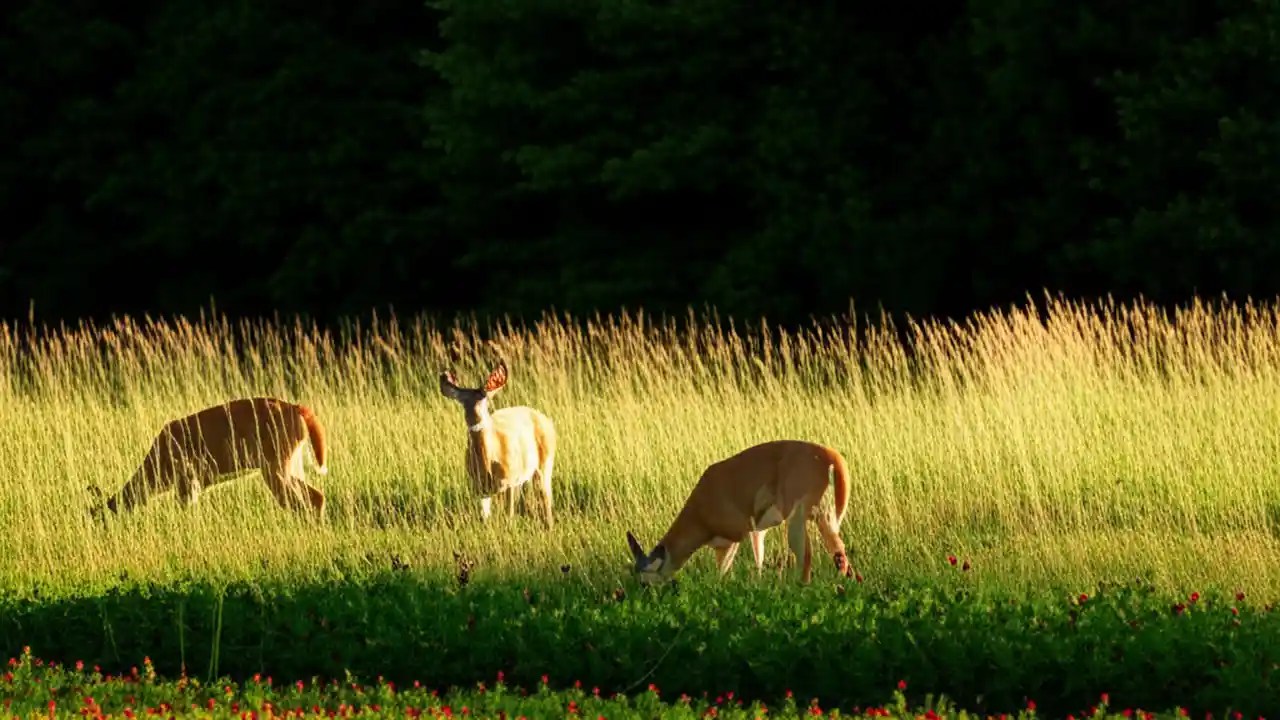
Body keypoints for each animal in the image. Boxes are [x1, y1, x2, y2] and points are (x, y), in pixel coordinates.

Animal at [88, 397, 328, 521]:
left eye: (101, 519)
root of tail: (298, 408)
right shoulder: (197, 481)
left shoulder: (186, 478)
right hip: (290, 462)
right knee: (316, 496)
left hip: (274, 464)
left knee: (298, 502)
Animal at [439, 359, 557, 528]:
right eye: (462, 403)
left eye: (485, 400)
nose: (474, 419)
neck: (488, 463)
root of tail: (546, 420)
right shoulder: (478, 488)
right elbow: (485, 519)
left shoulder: (509, 480)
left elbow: (509, 516)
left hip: (544, 464)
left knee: (546, 500)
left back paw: (549, 526)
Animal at [625, 439, 855, 585]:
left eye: (644, 582)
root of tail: (834, 458)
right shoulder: (748, 534)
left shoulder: (740, 535)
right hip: (826, 519)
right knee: (839, 552)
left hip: (798, 519)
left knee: (807, 555)